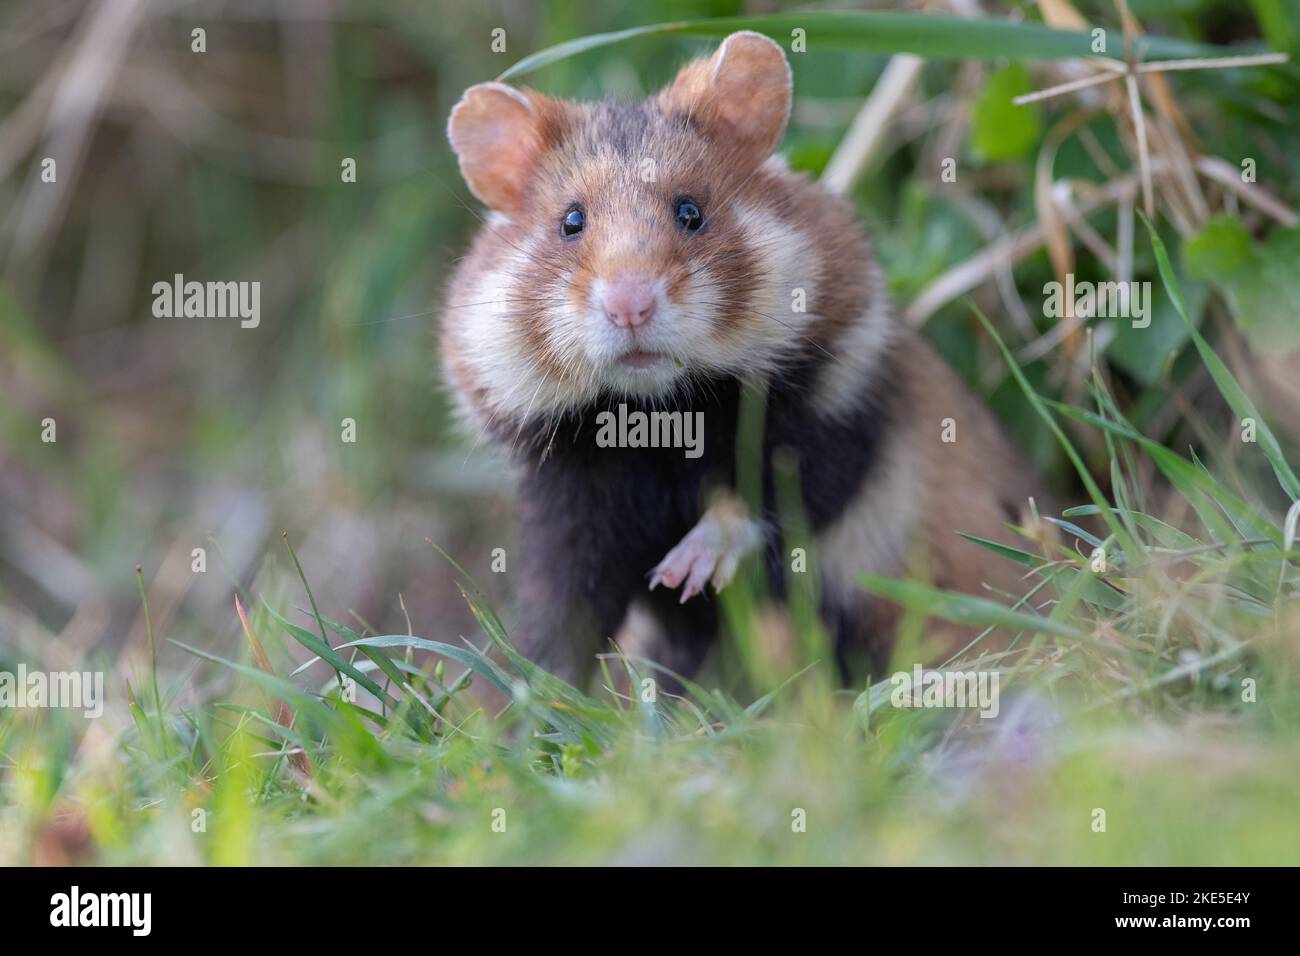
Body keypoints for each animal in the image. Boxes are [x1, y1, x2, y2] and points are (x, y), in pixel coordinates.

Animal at [442, 31, 1042, 686]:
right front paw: (529, 696)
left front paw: (685, 568)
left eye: (690, 212)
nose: (630, 307)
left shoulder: (839, 402)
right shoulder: (568, 495)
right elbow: (563, 612)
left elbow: (767, 495)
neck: (658, 418)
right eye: (570, 222)